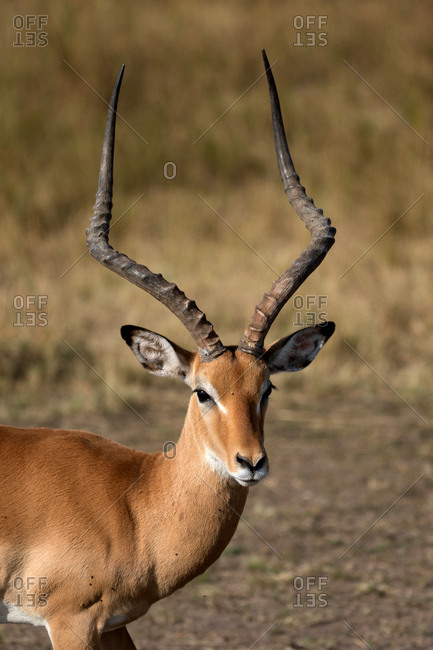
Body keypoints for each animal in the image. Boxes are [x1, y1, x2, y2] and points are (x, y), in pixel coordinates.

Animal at [0, 50, 335, 649]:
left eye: (267, 388)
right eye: (202, 392)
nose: (251, 462)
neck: (135, 504)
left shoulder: (113, 624)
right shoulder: (70, 620)